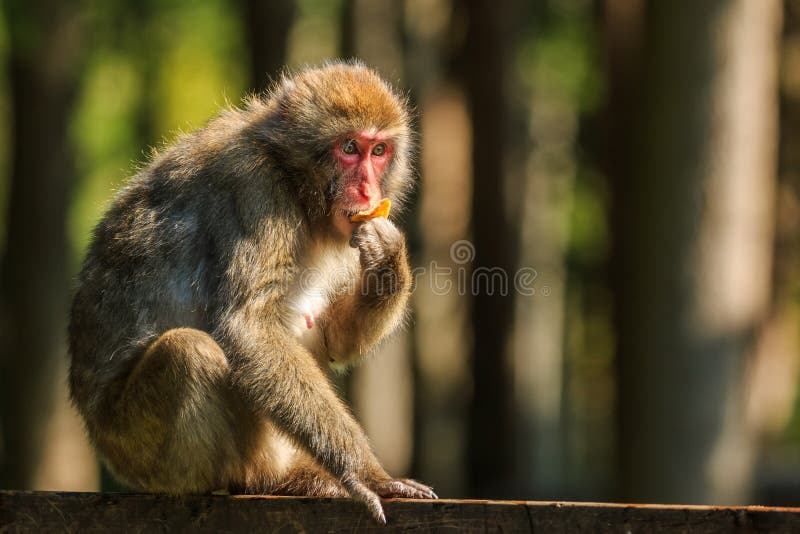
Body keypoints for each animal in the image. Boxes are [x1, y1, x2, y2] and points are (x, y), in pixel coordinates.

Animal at [68, 61, 436, 524]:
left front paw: (388, 263)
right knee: (188, 351)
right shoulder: (255, 190)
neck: (292, 179)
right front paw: (368, 474)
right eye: (350, 148)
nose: (369, 190)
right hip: (137, 448)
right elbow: (249, 329)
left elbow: (330, 339)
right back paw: (268, 479)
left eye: (379, 151)